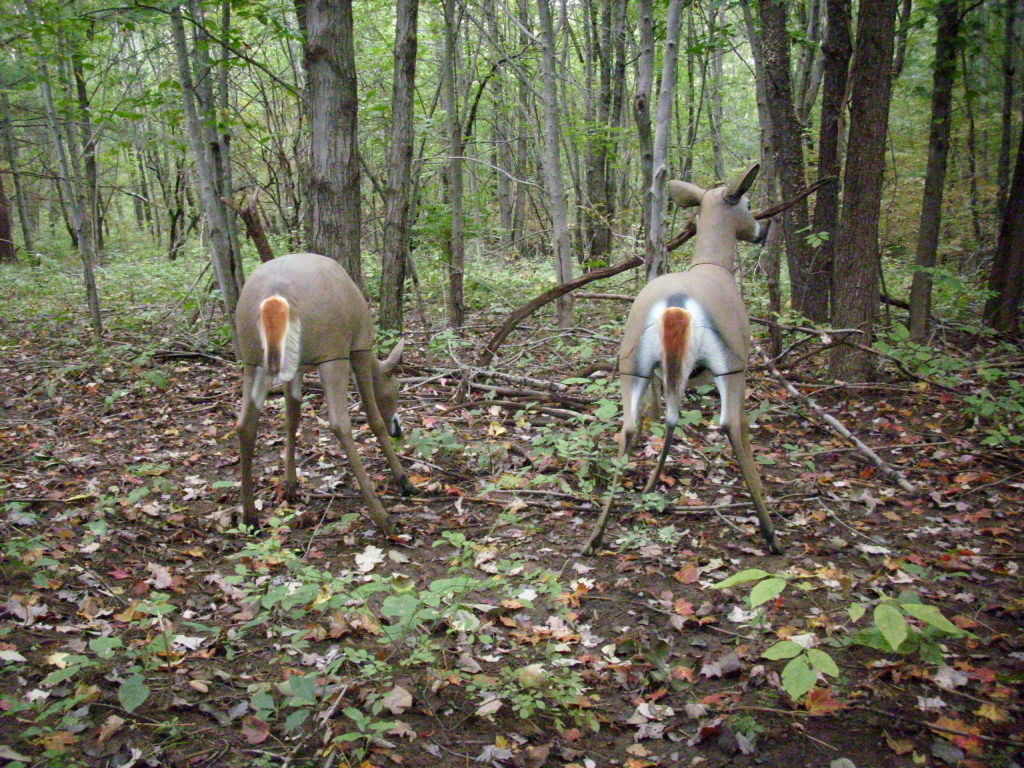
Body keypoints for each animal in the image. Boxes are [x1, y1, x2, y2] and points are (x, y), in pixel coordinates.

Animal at [233, 252, 415, 535]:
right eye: (396, 388)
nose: (398, 429)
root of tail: (275, 296)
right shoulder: (359, 346)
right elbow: (373, 418)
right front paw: (403, 479)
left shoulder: (296, 368)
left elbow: (292, 418)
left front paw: (290, 484)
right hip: (333, 352)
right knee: (340, 424)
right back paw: (383, 516)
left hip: (253, 360)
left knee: (245, 425)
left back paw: (250, 517)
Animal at [583, 164, 780, 555]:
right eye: (748, 203)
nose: (762, 230)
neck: (713, 265)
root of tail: (676, 305)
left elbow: (667, 417)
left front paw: (650, 484)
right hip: (731, 364)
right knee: (731, 423)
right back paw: (771, 532)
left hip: (632, 363)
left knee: (632, 425)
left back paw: (597, 535)